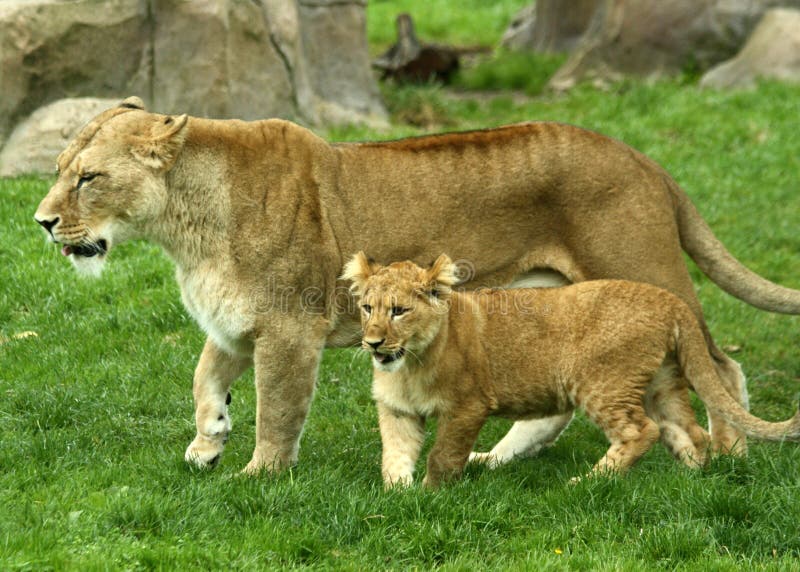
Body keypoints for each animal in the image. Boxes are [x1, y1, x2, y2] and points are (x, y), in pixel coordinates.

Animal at [343, 252, 800, 487]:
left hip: (602, 383)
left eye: (399, 311)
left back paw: (587, 483)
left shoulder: (468, 407)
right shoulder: (397, 410)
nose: (373, 342)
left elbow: (443, 456)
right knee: (688, 432)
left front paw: (431, 494)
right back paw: (692, 482)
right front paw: (399, 495)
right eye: (367, 308)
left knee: (641, 431)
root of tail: (671, 301)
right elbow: (395, 455)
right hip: (662, 381)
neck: (410, 363)